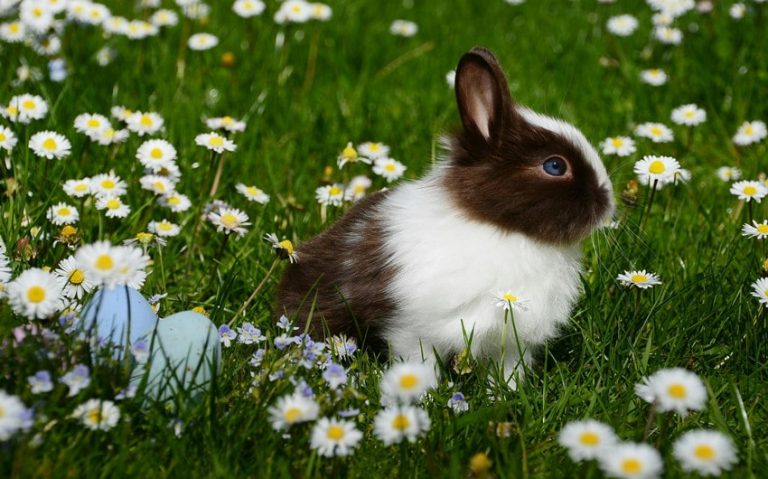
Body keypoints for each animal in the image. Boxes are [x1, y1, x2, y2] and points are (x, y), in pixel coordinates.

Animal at [277, 47, 614, 387]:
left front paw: (504, 393)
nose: (608, 202)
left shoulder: (511, 342)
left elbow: (507, 371)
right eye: (555, 166)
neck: (501, 228)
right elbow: (418, 365)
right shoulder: (413, 330)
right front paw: (422, 393)